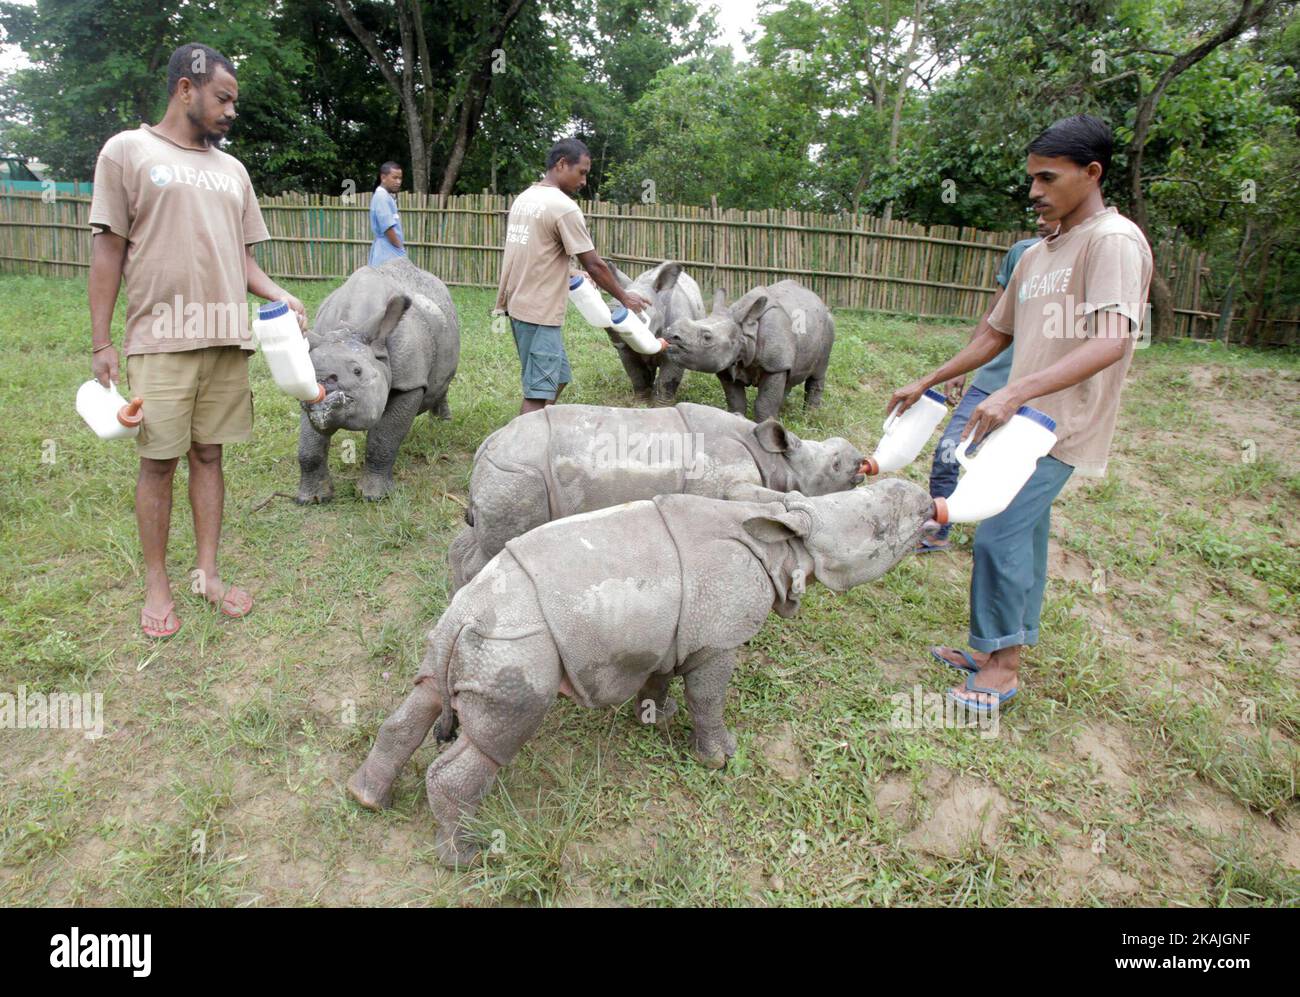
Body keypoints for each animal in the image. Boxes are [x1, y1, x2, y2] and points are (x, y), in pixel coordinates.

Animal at [296, 258, 460, 503]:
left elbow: (383, 438)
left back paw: (442, 423)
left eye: (357, 371)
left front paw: (374, 497)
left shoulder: (409, 382)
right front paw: (311, 499)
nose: (322, 380)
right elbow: (309, 445)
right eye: (308, 375)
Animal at [348, 479, 940, 867]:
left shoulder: (670, 629)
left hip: (462, 628)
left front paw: (656, 714)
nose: (926, 500)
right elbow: (710, 698)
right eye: (881, 533)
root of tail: (466, 616)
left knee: (424, 694)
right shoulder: (718, 637)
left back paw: (366, 798)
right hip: (515, 645)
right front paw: (720, 760)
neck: (784, 538)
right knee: (499, 737)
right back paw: (467, 859)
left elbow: (662, 673)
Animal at [448, 401, 868, 589]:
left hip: (505, 475)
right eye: (834, 466)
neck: (773, 458)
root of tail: (486, 447)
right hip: (519, 475)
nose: (861, 463)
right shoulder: (723, 481)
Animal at [606, 261, 705, 404]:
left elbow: (668, 378)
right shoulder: (625, 348)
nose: (611, 309)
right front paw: (640, 403)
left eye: (639, 312)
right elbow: (636, 374)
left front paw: (661, 405)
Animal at [664, 280, 834, 423]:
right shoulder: (728, 366)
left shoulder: (775, 365)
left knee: (818, 373)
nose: (670, 335)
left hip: (828, 326)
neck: (745, 333)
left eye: (707, 337)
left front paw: (766, 425)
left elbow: (764, 404)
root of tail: (818, 299)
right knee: (789, 378)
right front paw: (738, 419)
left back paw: (809, 418)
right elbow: (736, 402)